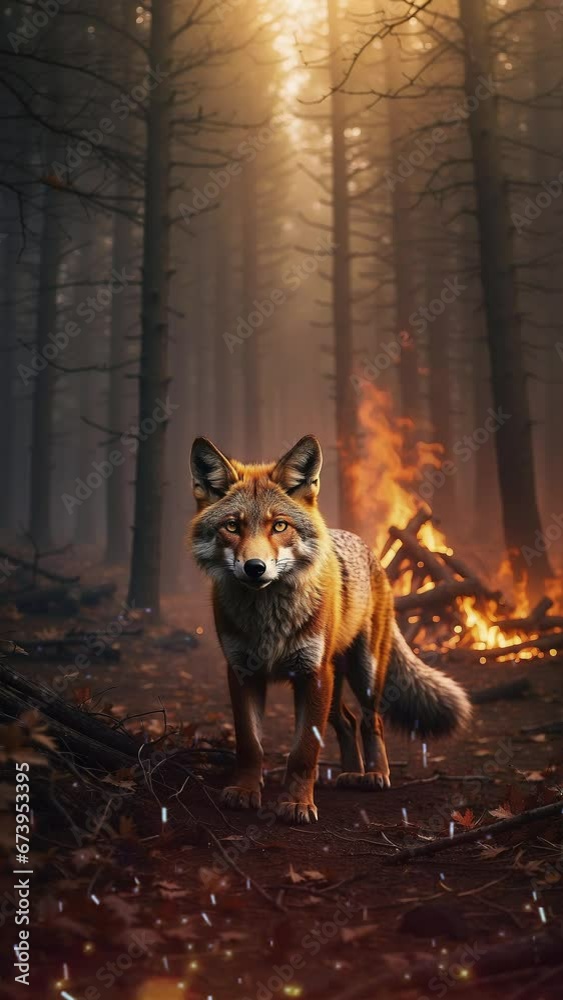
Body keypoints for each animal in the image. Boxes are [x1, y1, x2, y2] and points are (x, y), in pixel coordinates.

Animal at [189, 434, 472, 824]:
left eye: (279, 526)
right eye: (232, 526)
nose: (255, 568)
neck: (269, 621)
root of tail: (364, 546)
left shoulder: (312, 675)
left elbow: (304, 751)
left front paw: (297, 804)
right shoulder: (243, 673)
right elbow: (250, 744)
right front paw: (245, 791)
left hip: (362, 673)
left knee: (371, 721)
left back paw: (375, 774)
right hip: (334, 685)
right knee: (347, 722)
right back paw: (351, 773)